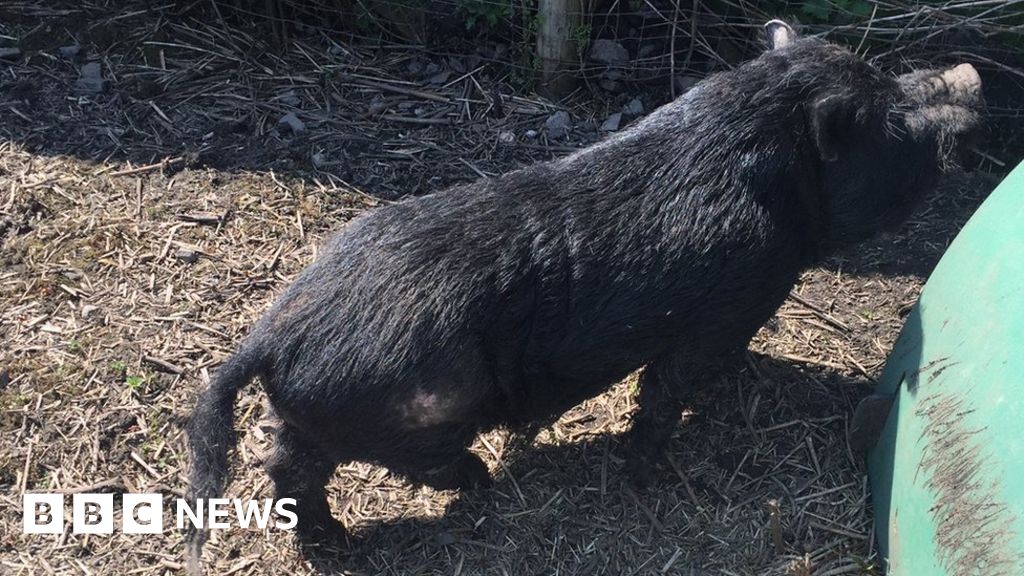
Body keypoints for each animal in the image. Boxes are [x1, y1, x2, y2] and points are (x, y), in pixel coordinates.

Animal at [185, 19, 982, 571]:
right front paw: (653, 472)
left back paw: (337, 543)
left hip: (310, 415)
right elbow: (667, 391)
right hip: (404, 410)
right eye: (893, 120)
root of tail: (275, 333)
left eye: (889, 86)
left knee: (284, 465)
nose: (970, 78)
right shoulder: (725, 307)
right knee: (385, 464)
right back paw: (474, 482)